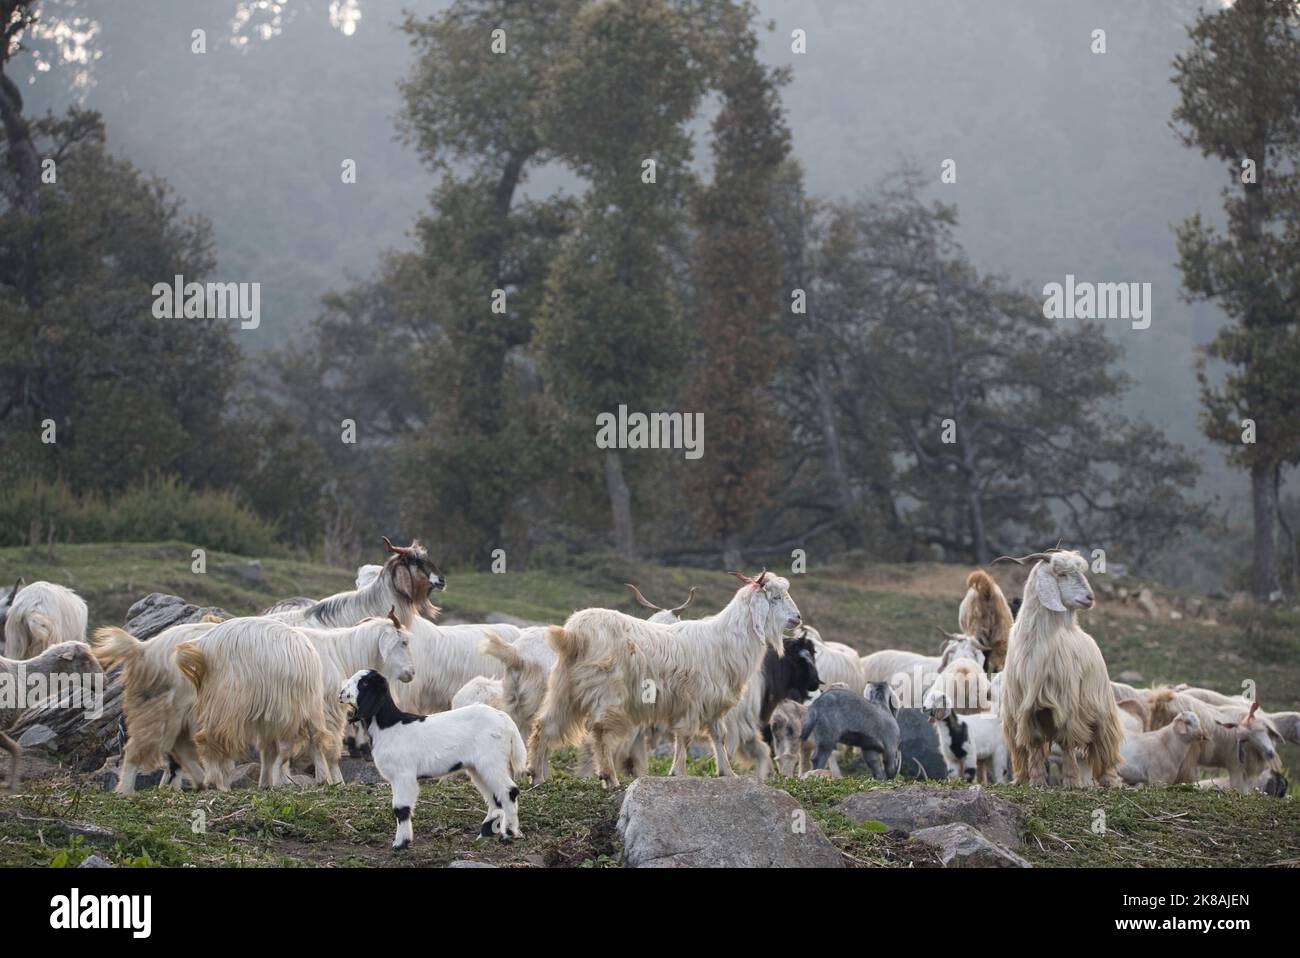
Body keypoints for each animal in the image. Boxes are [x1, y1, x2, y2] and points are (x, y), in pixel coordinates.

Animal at [175, 617, 331, 790]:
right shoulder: (293, 710)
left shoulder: (271, 715)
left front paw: (266, 783)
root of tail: (205, 643)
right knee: (210, 738)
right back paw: (218, 783)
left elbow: (269, 749)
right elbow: (295, 745)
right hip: (227, 699)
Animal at [340, 669, 525, 849]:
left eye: (364, 683)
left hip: (491, 760)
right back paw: (485, 834)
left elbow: (401, 808)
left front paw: (400, 844)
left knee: (509, 791)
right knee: (494, 797)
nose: (341, 692)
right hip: (477, 767)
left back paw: (508, 834)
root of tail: (505, 720)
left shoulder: (403, 774)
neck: (389, 725)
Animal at [527, 570, 800, 788]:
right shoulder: (692, 700)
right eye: (775, 597)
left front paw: (727, 772)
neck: (722, 640)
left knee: (544, 724)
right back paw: (609, 778)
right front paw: (678, 772)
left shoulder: (712, 705)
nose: (797, 618)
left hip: (564, 688)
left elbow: (718, 736)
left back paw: (536, 776)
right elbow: (686, 737)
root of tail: (573, 634)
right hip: (606, 692)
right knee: (600, 730)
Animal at [996, 549, 1124, 787]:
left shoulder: (1067, 704)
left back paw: (1109, 780)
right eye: (1062, 574)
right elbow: (1034, 743)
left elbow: (1067, 742)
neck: (1037, 642)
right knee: (1019, 752)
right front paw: (1037, 780)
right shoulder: (1026, 707)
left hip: (1101, 706)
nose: (1090, 598)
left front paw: (1072, 780)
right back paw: (1019, 778)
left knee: (1104, 743)